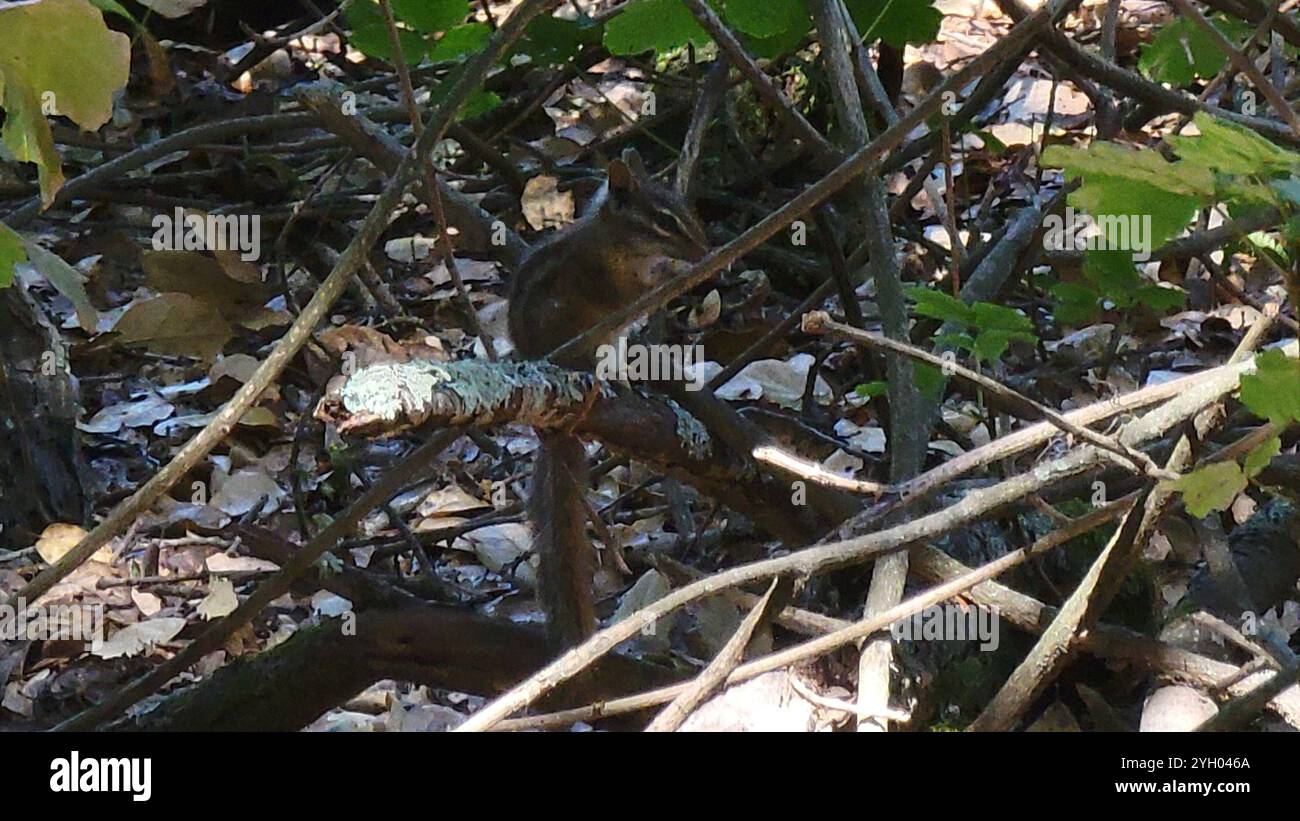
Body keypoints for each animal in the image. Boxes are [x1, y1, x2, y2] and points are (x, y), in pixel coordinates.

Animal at [507, 148, 709, 648]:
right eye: (664, 222)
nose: (705, 251)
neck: (615, 239)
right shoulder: (611, 281)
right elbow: (633, 291)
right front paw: (678, 273)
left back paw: (630, 387)